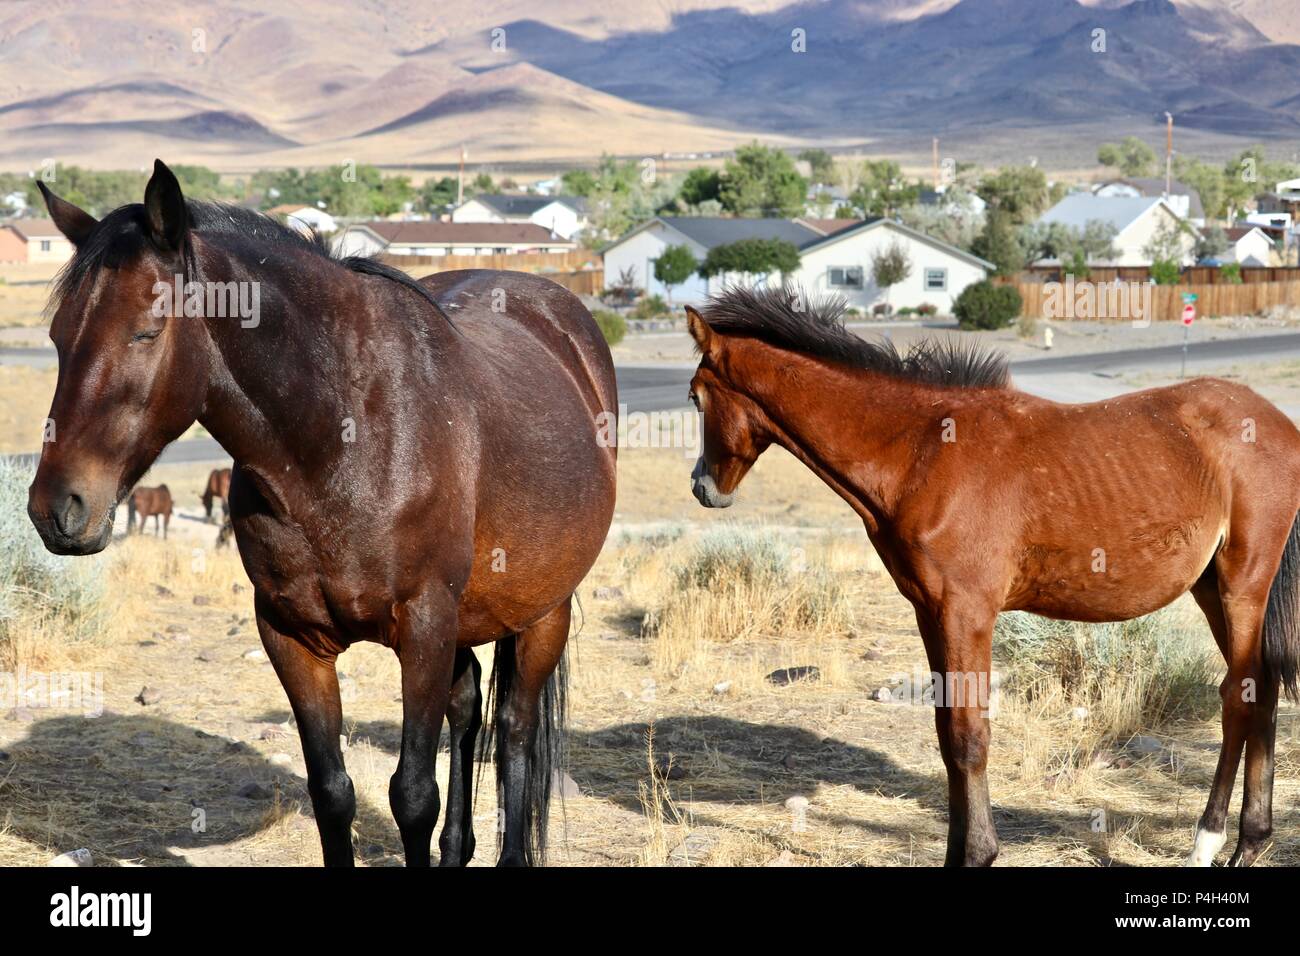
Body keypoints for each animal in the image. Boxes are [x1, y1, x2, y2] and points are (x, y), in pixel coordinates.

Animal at [26, 160, 618, 868]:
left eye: (146, 330)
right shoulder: (291, 636)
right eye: (59, 338)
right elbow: (332, 792)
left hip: (542, 612)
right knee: (469, 702)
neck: (345, 436)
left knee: (516, 732)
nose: (56, 508)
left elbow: (412, 795)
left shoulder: (424, 625)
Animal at [684, 285, 1300, 867]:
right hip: (1211, 587)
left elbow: (968, 736)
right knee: (1263, 688)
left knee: (1239, 696)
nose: (702, 487)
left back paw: (1207, 842)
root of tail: (1278, 423)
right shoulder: (930, 612)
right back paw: (1251, 841)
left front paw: (979, 852)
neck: (922, 451)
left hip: (1242, 584)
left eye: (694, 398)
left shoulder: (967, 612)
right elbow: (944, 734)